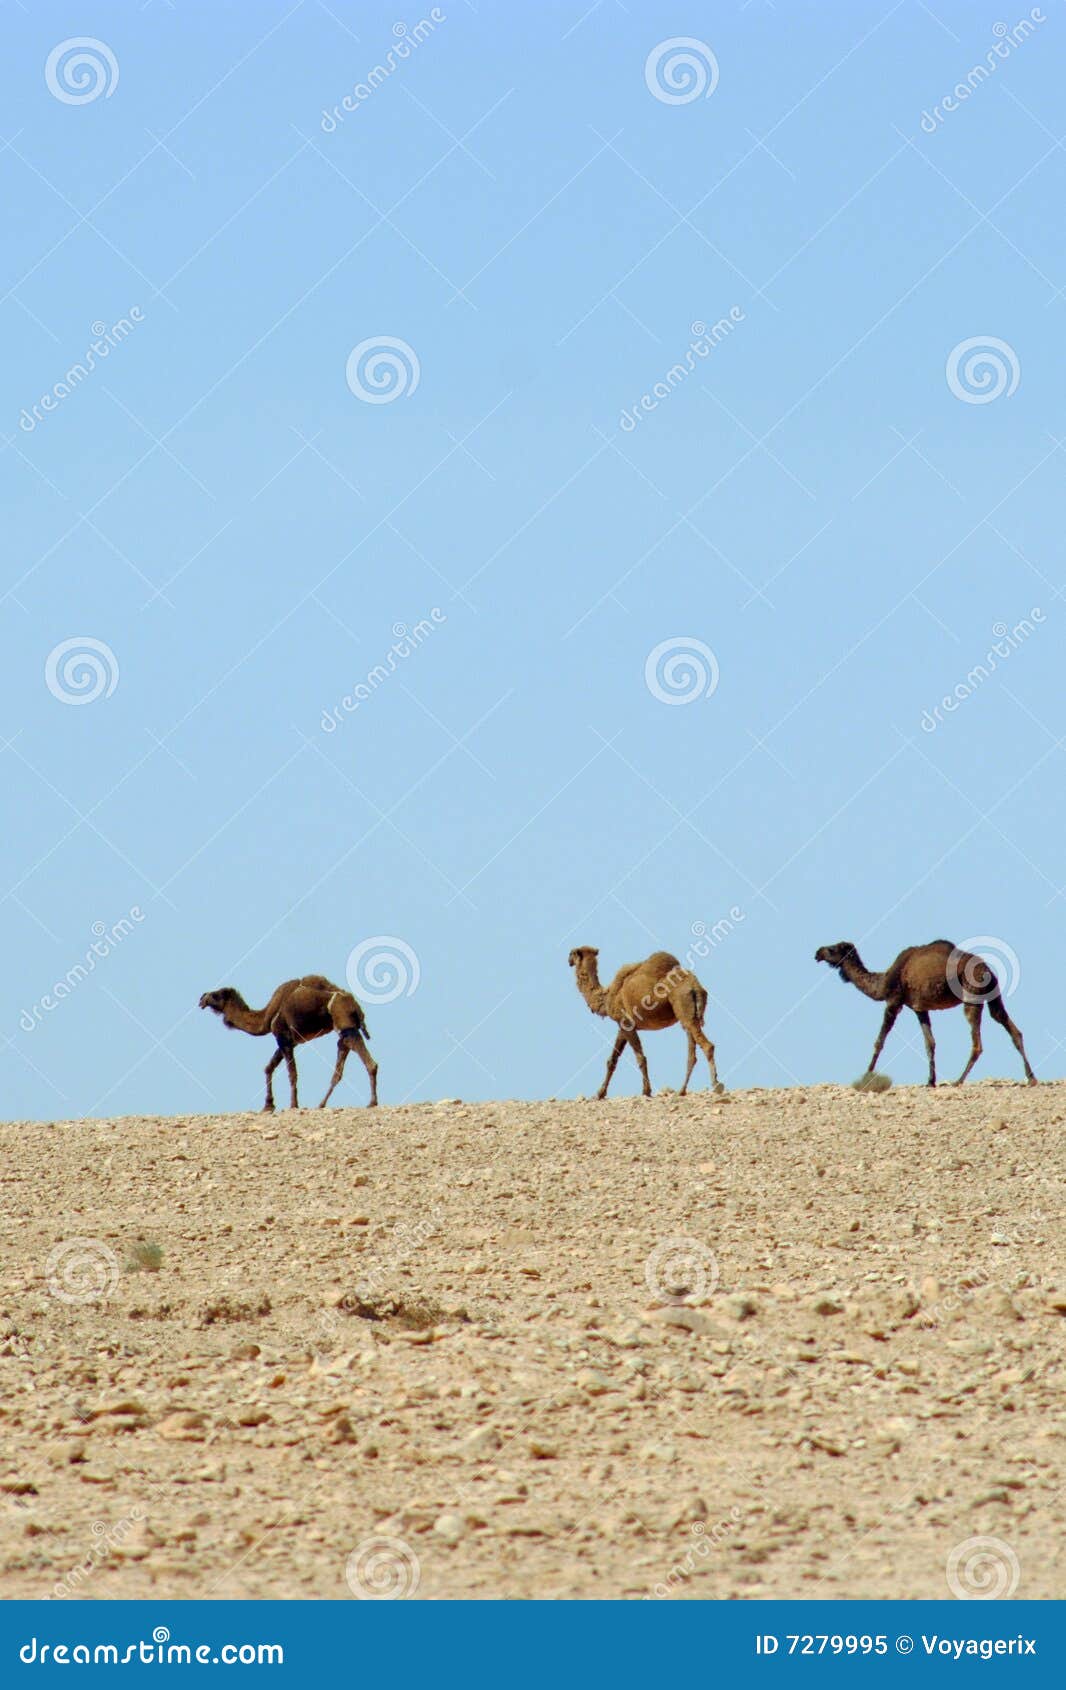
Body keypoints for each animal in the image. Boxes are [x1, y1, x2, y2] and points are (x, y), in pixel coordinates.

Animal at [199, 975, 378, 1110]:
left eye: (216, 995)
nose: (202, 998)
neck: (266, 1016)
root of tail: (355, 1005)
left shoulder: (282, 1036)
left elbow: (292, 1073)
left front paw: (293, 1105)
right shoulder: (289, 1041)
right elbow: (268, 1068)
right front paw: (268, 1106)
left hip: (344, 1021)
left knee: (364, 1056)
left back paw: (372, 1102)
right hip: (345, 1027)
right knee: (342, 1056)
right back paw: (321, 1104)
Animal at [568, 946, 722, 1099]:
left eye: (572, 953)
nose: (568, 960)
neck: (607, 997)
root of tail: (695, 987)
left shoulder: (626, 1023)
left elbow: (640, 1058)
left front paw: (646, 1091)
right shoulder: (622, 1026)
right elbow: (612, 1060)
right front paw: (600, 1093)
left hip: (682, 1004)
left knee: (707, 1046)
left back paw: (716, 1085)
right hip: (690, 1015)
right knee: (691, 1054)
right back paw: (682, 1091)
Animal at [815, 940, 1036, 1088]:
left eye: (832, 949)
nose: (818, 953)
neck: (884, 981)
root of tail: (987, 970)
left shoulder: (894, 1001)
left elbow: (880, 1040)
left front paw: (867, 1076)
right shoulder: (920, 1008)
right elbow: (930, 1043)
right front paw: (930, 1081)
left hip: (971, 995)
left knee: (978, 1042)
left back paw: (958, 1080)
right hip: (993, 996)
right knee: (1009, 1025)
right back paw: (1032, 1077)